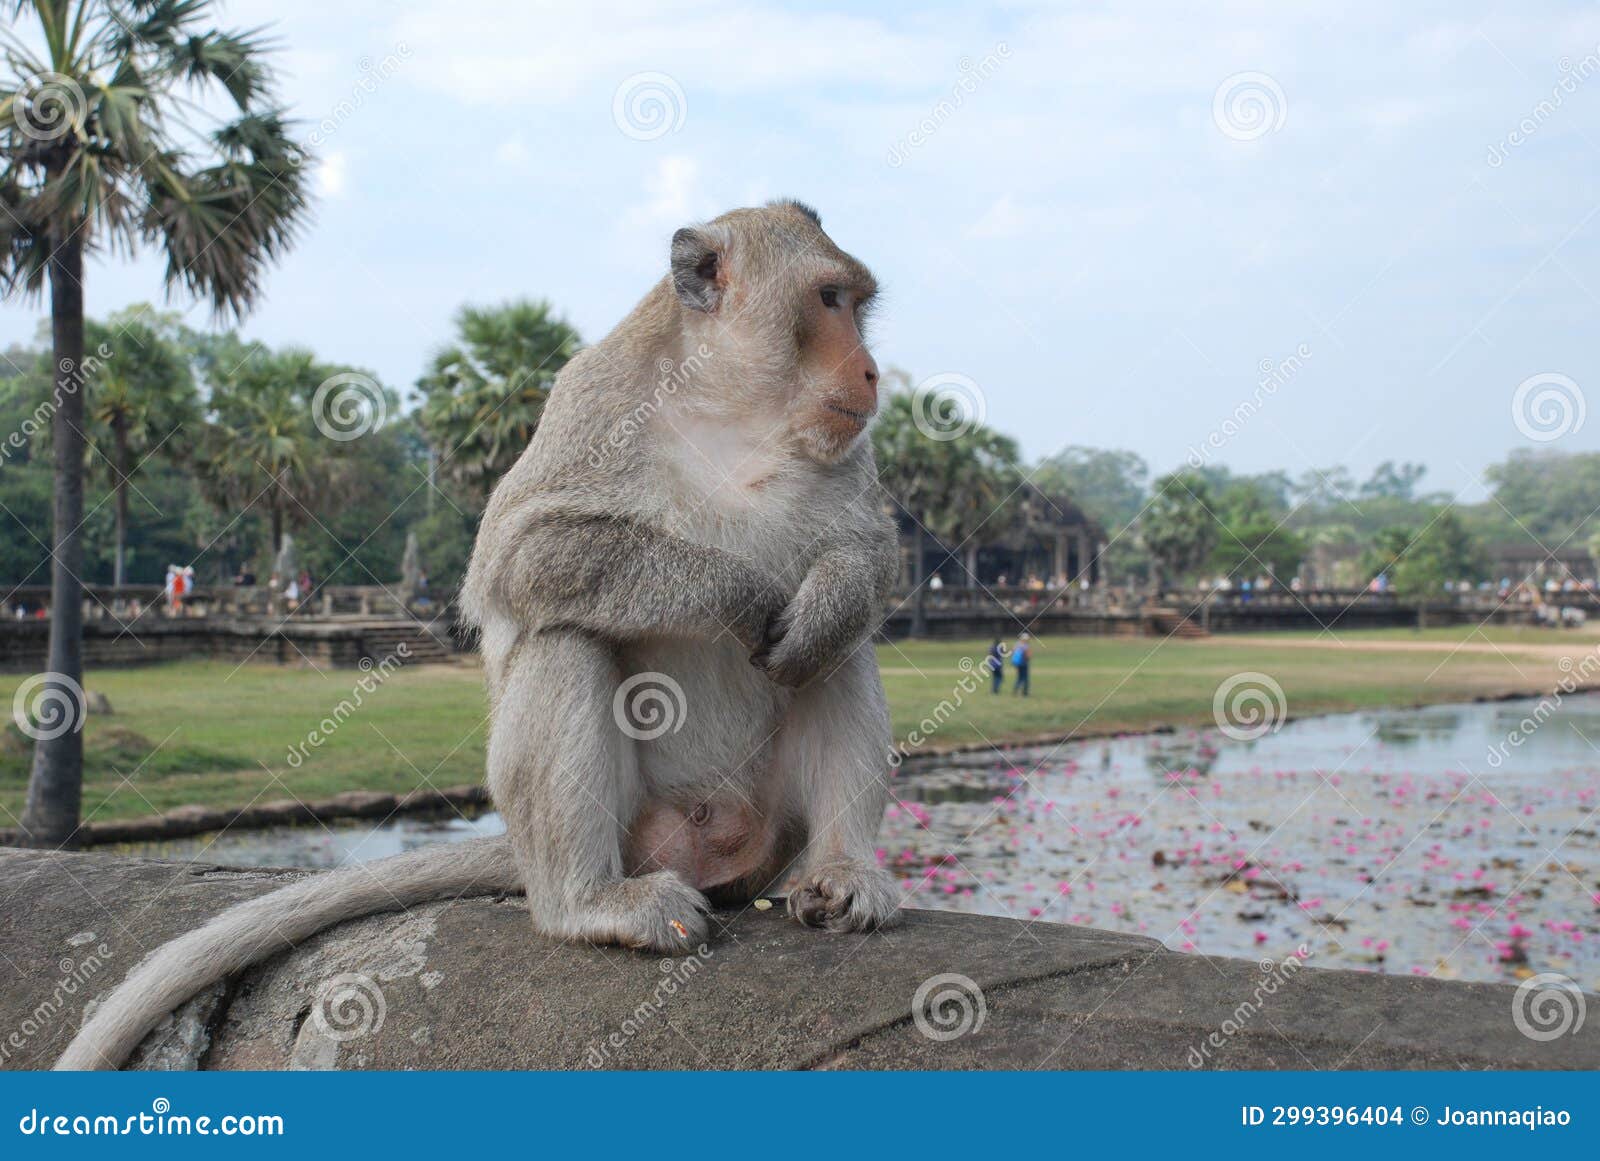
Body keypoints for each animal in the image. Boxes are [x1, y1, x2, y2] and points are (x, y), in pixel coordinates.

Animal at [56, 201, 901, 1070]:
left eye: (855, 302)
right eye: (829, 300)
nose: (871, 371)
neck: (732, 409)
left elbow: (868, 556)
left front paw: (828, 598)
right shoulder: (594, 399)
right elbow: (519, 554)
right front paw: (740, 592)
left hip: (770, 829)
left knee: (836, 656)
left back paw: (840, 870)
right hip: (633, 832)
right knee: (567, 639)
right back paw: (587, 902)